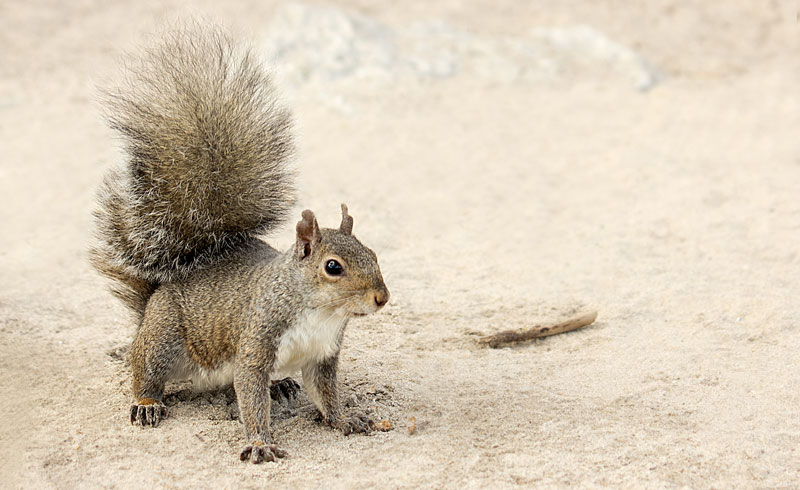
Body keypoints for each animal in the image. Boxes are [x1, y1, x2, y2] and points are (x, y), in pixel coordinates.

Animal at [90, 26, 390, 464]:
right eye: (333, 266)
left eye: (373, 254)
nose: (382, 298)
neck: (319, 313)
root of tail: (152, 300)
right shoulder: (255, 340)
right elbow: (250, 395)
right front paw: (260, 442)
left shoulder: (322, 356)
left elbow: (326, 394)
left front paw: (344, 419)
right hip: (164, 338)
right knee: (144, 370)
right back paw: (146, 403)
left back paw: (281, 386)